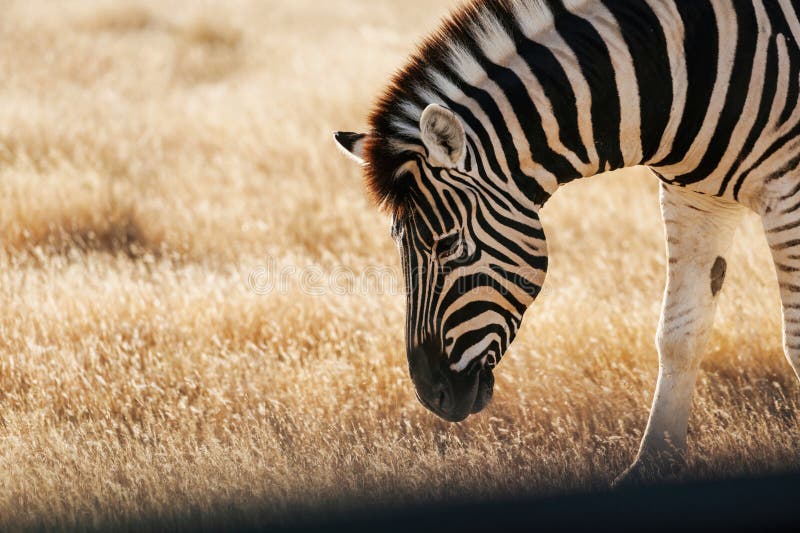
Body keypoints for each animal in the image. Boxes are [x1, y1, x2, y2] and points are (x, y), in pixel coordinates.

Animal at [334, 0, 800, 484]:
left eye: (447, 246)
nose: (432, 396)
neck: (678, 67)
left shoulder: (787, 189)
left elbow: (796, 342)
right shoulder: (695, 197)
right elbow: (679, 334)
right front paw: (652, 466)